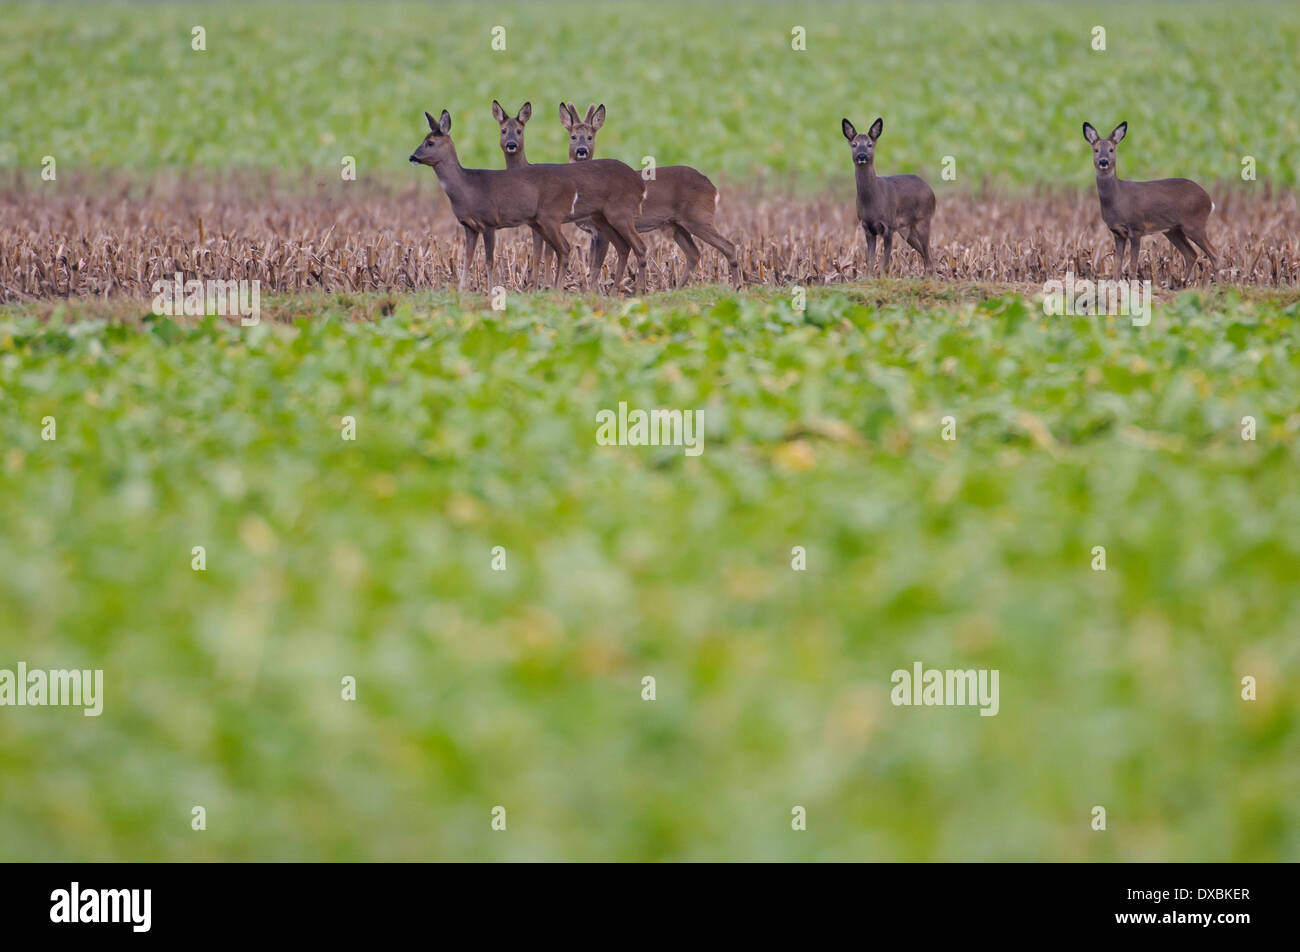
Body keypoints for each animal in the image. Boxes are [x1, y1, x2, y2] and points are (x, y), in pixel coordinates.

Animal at [560, 103, 741, 289]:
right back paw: (676, 289)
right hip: (676, 224)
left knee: (728, 246)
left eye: (590, 137)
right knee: (694, 253)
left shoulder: (600, 231)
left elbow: (596, 266)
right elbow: (591, 265)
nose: (582, 150)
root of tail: (713, 188)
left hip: (699, 217)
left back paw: (736, 286)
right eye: (573, 136)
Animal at [841, 117, 935, 276]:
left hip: (924, 219)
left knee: (929, 255)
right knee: (926, 255)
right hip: (907, 230)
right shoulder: (867, 227)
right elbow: (870, 262)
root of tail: (931, 191)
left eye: (870, 144)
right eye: (854, 144)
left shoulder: (889, 226)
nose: (861, 156)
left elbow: (885, 263)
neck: (872, 200)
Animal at [1082, 121, 1217, 284]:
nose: (1103, 161)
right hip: (1173, 229)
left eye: (1111, 149)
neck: (1118, 199)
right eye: (1095, 150)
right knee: (1191, 254)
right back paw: (1181, 283)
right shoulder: (1117, 233)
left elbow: (1132, 266)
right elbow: (1117, 266)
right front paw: (1116, 284)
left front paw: (1134, 284)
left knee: (1214, 253)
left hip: (1194, 223)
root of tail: (1209, 200)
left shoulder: (1136, 228)